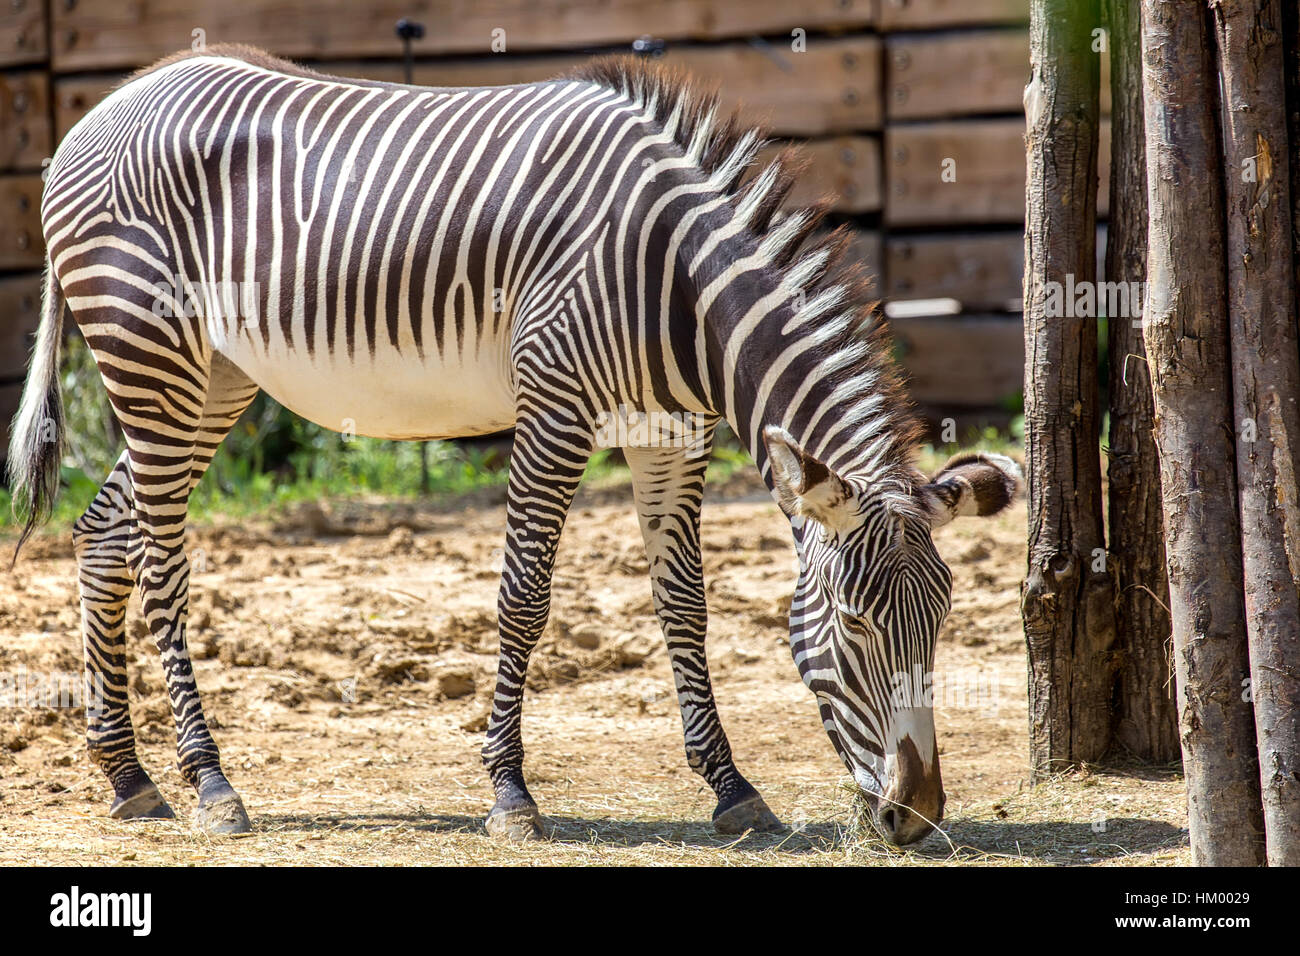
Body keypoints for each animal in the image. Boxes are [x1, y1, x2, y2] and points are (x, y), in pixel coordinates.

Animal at [8, 46, 1020, 846]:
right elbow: (525, 599)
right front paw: (510, 794)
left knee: (103, 534)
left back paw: (129, 777)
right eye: (855, 624)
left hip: (211, 379)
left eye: (942, 622)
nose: (918, 815)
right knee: (158, 561)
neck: (678, 283)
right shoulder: (555, 411)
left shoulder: (672, 437)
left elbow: (685, 608)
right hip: (152, 354)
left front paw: (732, 790)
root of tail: (100, 110)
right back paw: (211, 783)